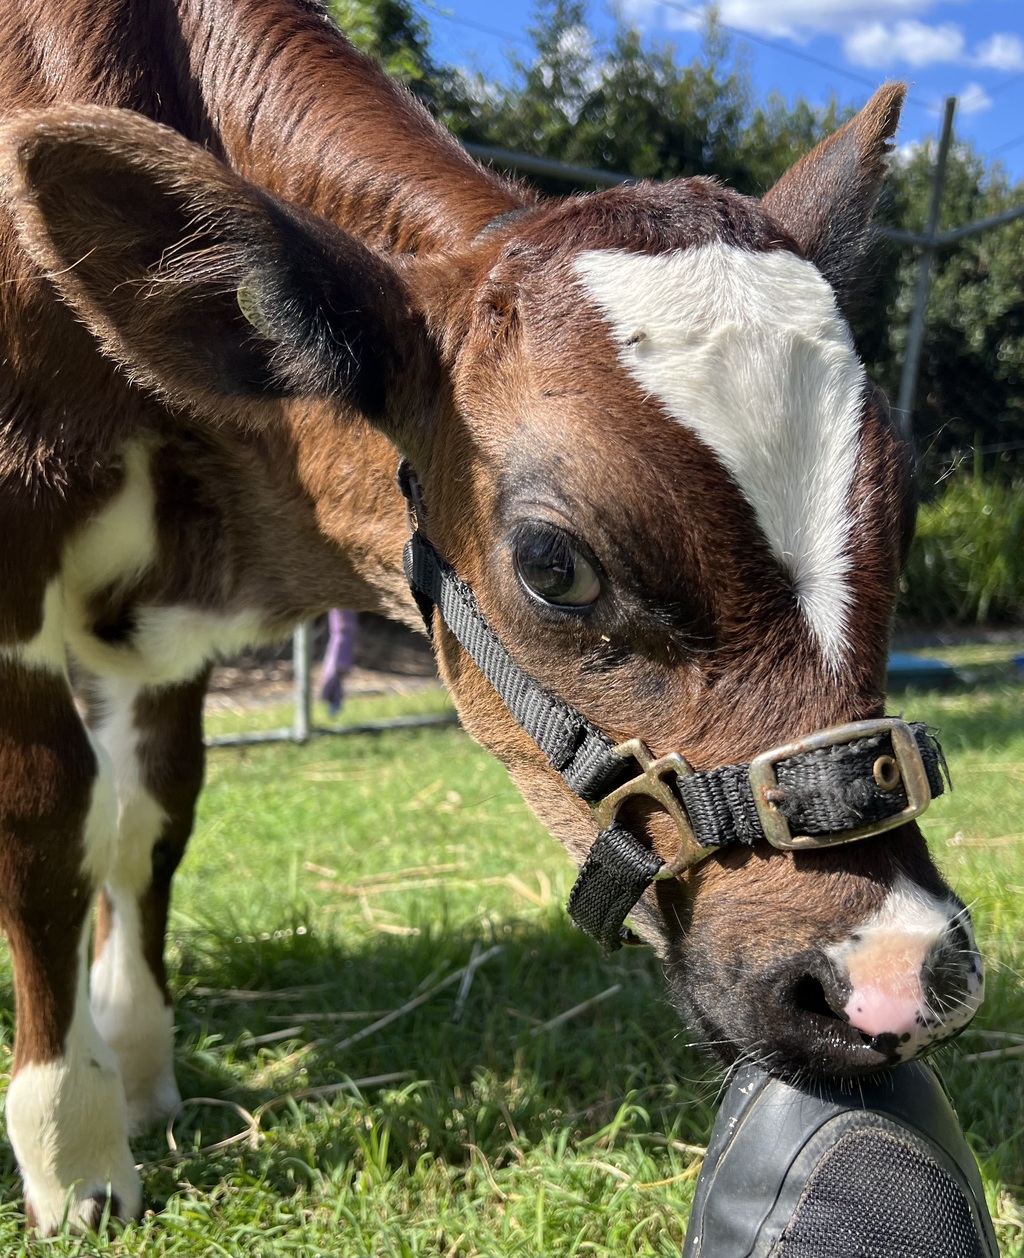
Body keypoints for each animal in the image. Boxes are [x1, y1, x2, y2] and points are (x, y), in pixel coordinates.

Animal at [0, 0, 982, 1232]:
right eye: (554, 564)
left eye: (905, 510)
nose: (906, 972)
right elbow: (47, 819)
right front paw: (75, 1147)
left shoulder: (165, 637)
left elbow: (150, 817)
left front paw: (137, 1067)